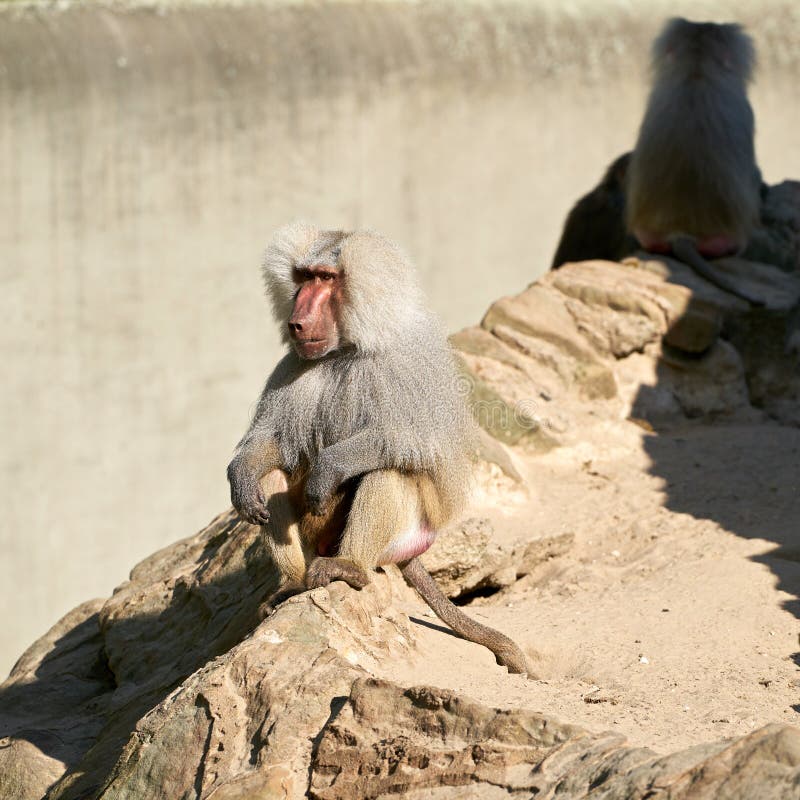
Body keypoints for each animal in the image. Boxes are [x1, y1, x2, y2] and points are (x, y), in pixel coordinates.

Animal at [227, 222, 528, 675]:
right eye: (303, 276)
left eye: (326, 278)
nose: (297, 323)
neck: (346, 349)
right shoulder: (290, 367)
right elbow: (276, 444)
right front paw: (241, 475)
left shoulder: (410, 363)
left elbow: (414, 442)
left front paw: (329, 469)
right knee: (274, 480)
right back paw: (295, 584)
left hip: (405, 535)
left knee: (388, 471)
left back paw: (350, 568)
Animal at [626, 17, 766, 306]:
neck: (696, 67)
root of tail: (681, 233)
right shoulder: (745, 110)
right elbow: (753, 175)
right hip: (726, 237)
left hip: (648, 236)